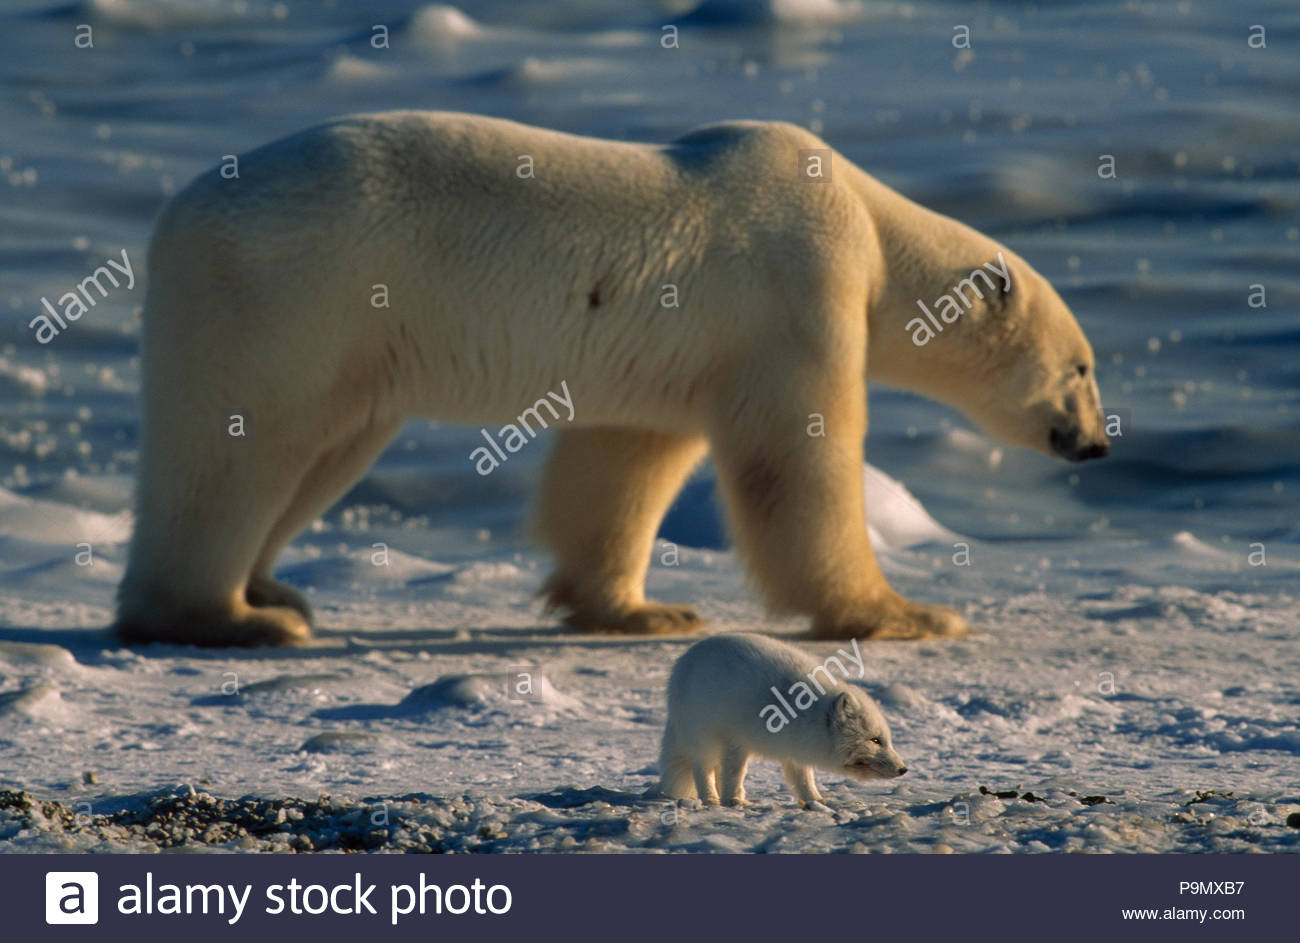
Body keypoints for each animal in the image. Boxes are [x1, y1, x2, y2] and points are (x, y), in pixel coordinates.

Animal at [113, 111, 1108, 648]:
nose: (1098, 443)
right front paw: (909, 611)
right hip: (294, 299)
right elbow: (796, 460)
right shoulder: (798, 293)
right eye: (1084, 366)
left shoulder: (679, 351)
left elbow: (624, 460)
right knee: (241, 450)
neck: (866, 222)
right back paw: (227, 615)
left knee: (324, 453)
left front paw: (642, 608)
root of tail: (170, 219)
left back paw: (274, 590)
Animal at [656, 633, 907, 806]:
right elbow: (734, 774)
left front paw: (816, 801)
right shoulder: (735, 741)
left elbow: (804, 778)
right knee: (702, 769)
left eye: (885, 739)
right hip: (701, 737)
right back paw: (711, 799)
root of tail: (685, 657)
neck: (797, 711)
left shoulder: (795, 749)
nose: (903, 769)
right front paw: (734, 801)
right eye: (875, 740)